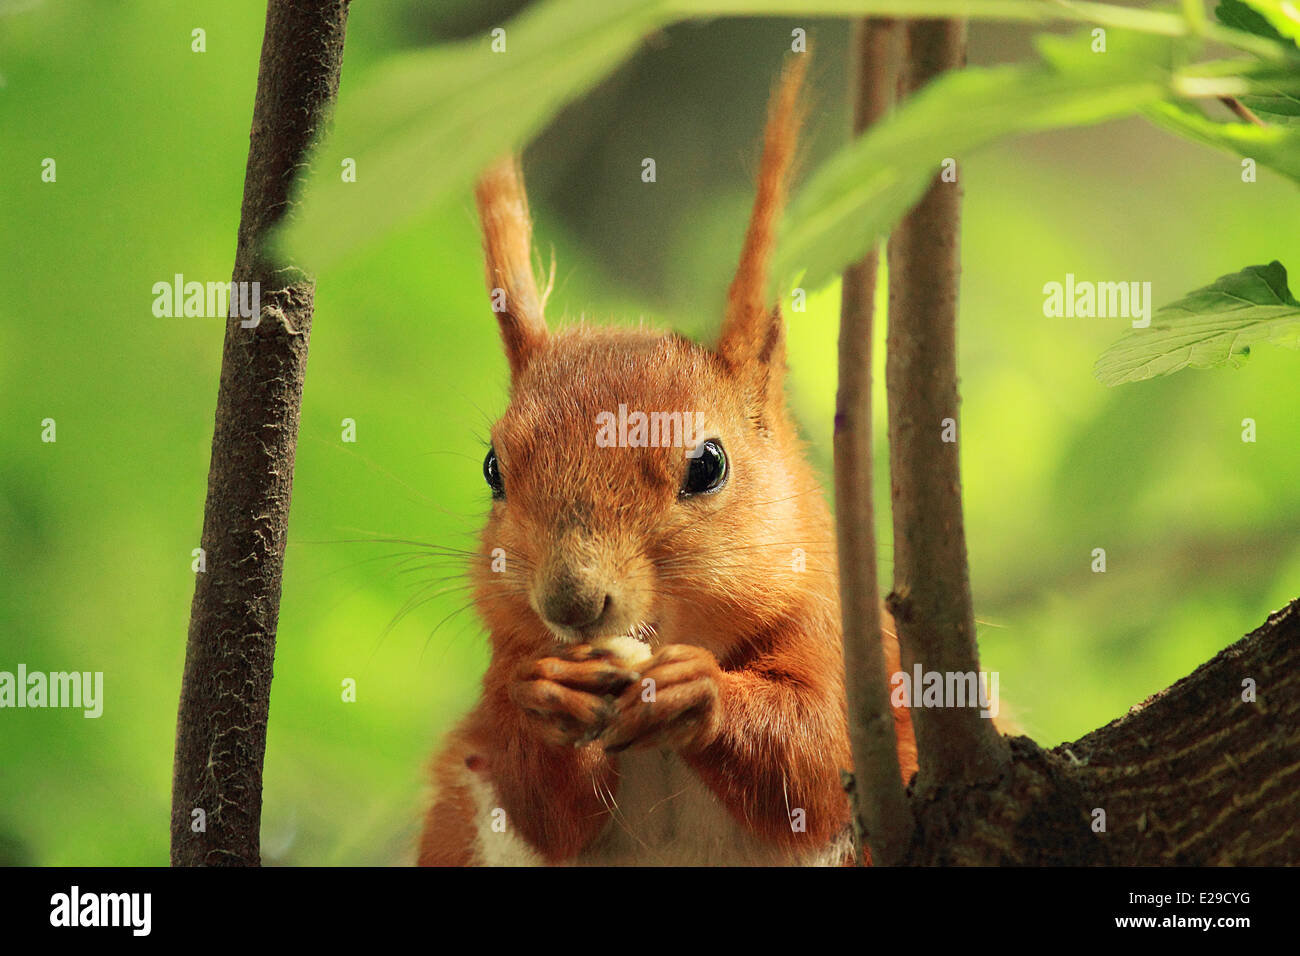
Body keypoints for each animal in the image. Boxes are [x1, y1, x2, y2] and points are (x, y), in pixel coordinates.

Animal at [417, 57, 918, 867]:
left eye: (708, 465)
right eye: (494, 469)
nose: (569, 603)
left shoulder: (843, 647)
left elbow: (816, 759)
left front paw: (696, 691)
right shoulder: (500, 676)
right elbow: (539, 806)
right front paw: (545, 696)